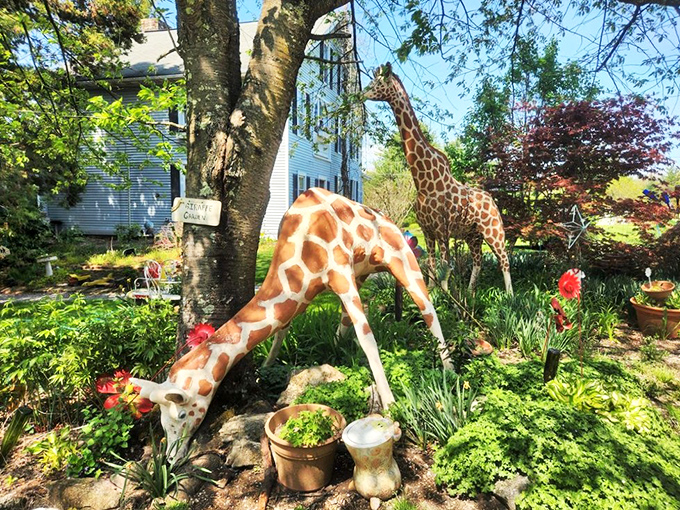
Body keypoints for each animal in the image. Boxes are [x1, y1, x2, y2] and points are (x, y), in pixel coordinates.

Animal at [132, 188, 452, 459]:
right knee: (345, 324)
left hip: (402, 261)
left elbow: (368, 338)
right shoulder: (303, 292)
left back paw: (450, 370)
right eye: (161, 420)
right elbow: (281, 330)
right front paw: (265, 370)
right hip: (361, 273)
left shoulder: (339, 274)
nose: (171, 457)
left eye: (181, 414)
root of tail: (392, 221)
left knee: (429, 309)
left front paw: (391, 408)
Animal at [363, 63, 513, 295]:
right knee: (478, 261)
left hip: (493, 231)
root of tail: (492, 200)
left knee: (504, 260)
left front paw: (446, 298)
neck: (424, 182)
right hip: (473, 235)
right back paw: (470, 294)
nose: (361, 93)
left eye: (377, 83)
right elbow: (431, 266)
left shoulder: (442, 230)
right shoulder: (428, 231)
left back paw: (509, 297)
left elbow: (444, 267)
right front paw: (434, 293)